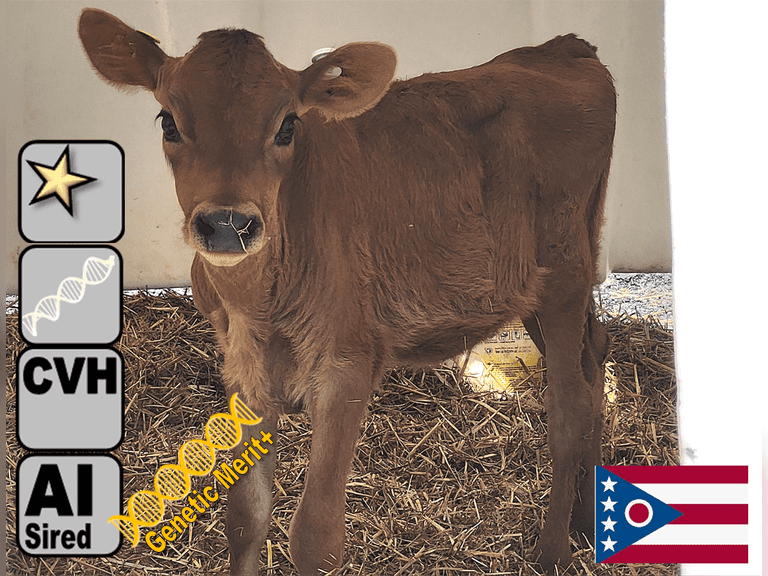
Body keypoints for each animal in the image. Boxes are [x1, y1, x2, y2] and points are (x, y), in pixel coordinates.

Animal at [78, 8, 615, 575]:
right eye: (169, 122)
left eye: (287, 125)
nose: (227, 224)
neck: (262, 304)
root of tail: (564, 47)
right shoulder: (245, 372)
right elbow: (245, 516)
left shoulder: (348, 364)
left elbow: (316, 537)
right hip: (540, 287)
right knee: (595, 361)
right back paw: (587, 522)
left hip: (563, 278)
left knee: (569, 407)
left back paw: (553, 551)